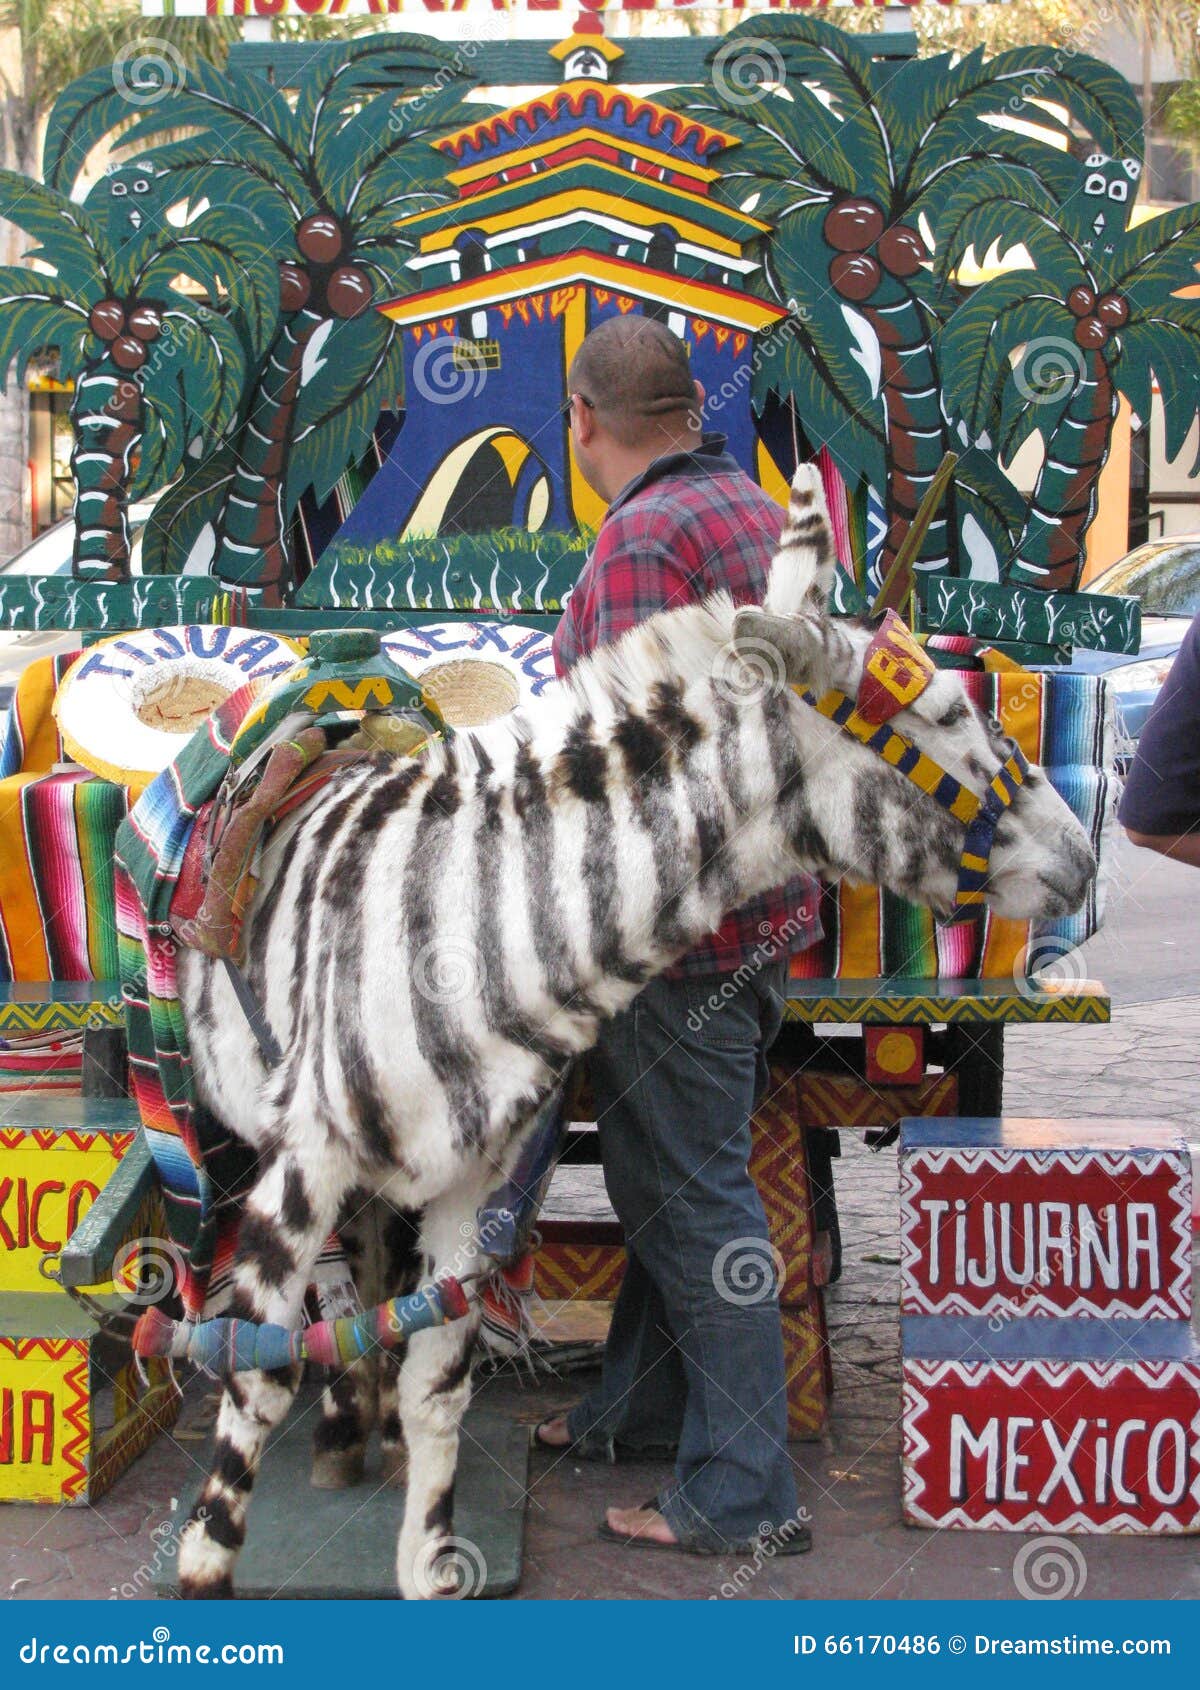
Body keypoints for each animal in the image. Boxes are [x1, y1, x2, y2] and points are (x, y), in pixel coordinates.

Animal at [174, 466, 1098, 1598]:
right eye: (944, 711)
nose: (1081, 856)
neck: (470, 920)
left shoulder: (471, 1180)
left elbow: (440, 1377)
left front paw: (428, 1554)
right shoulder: (305, 1162)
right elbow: (252, 1372)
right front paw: (206, 1565)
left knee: (372, 1269)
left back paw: (359, 1424)